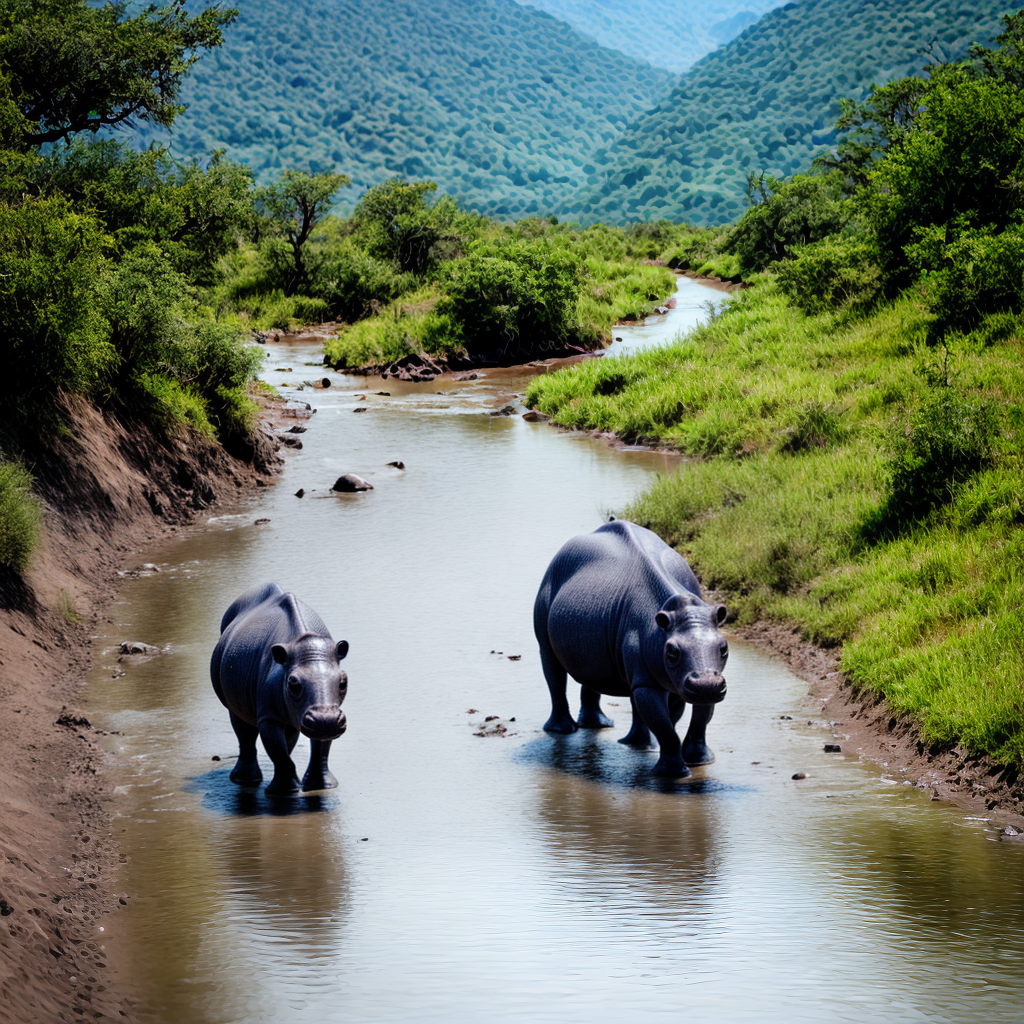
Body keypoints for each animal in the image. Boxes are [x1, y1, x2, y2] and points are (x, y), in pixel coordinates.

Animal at [211, 582, 349, 794]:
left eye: (343, 682)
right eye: (293, 683)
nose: (325, 720)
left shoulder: (325, 715)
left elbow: (320, 748)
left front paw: (322, 787)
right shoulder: (269, 716)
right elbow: (278, 751)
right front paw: (285, 791)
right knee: (242, 728)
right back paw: (244, 780)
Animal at [534, 520, 729, 778]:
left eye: (724, 648)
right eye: (672, 653)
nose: (706, 683)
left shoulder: (697, 679)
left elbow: (696, 718)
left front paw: (700, 762)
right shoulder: (653, 679)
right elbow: (666, 726)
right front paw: (674, 774)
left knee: (595, 669)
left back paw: (622, 737)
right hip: (550, 582)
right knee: (551, 664)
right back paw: (563, 731)